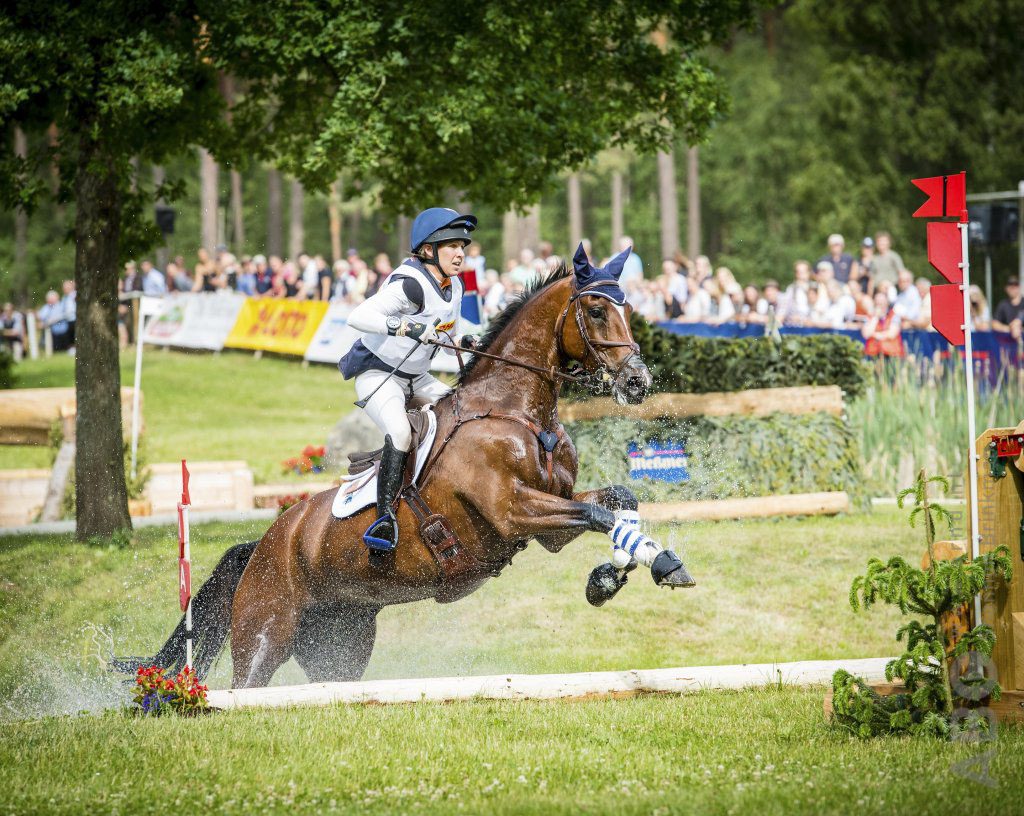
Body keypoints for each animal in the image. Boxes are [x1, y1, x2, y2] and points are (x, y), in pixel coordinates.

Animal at [121, 261, 696, 688]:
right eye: (596, 309)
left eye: (627, 308)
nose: (638, 381)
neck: (516, 411)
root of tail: (263, 542)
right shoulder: (513, 510)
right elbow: (599, 511)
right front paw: (654, 566)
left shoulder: (549, 517)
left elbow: (618, 500)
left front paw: (617, 574)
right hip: (265, 636)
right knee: (245, 686)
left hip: (340, 643)